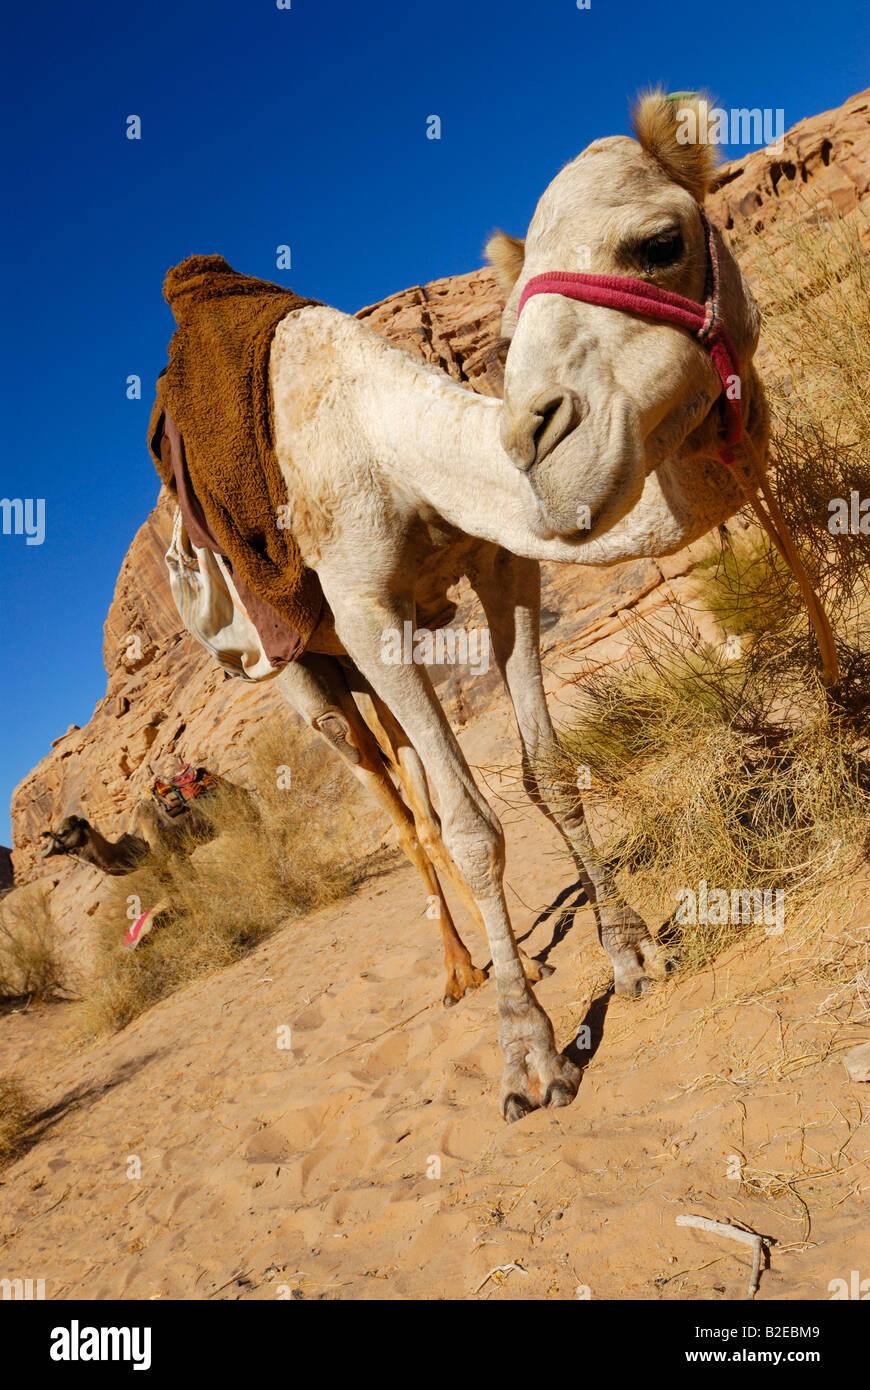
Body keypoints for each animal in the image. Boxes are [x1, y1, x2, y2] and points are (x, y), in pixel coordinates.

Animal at [167, 94, 769, 1120]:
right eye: (513, 312)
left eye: (660, 244)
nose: (541, 441)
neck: (389, 447)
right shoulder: (363, 608)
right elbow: (470, 825)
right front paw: (529, 1055)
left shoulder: (501, 573)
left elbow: (549, 775)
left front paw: (633, 955)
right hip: (302, 673)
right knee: (396, 801)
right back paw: (459, 970)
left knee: (416, 767)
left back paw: (510, 955)